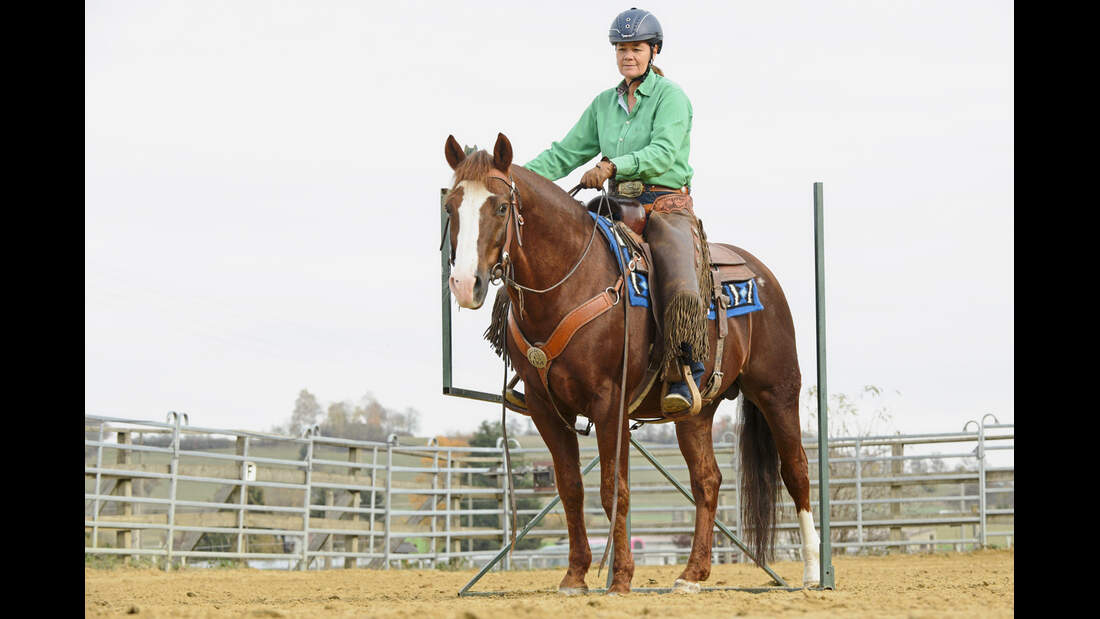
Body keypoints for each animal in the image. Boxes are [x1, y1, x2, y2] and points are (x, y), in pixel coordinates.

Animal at [442, 132, 821, 594]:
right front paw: (575, 575)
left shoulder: (610, 402)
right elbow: (571, 488)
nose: (465, 284)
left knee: (796, 468)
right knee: (707, 480)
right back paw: (692, 574)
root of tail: (760, 272)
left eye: (499, 207)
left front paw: (620, 576)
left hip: (777, 389)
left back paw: (813, 571)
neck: (571, 280)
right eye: (450, 207)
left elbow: (614, 489)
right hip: (697, 410)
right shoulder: (544, 407)